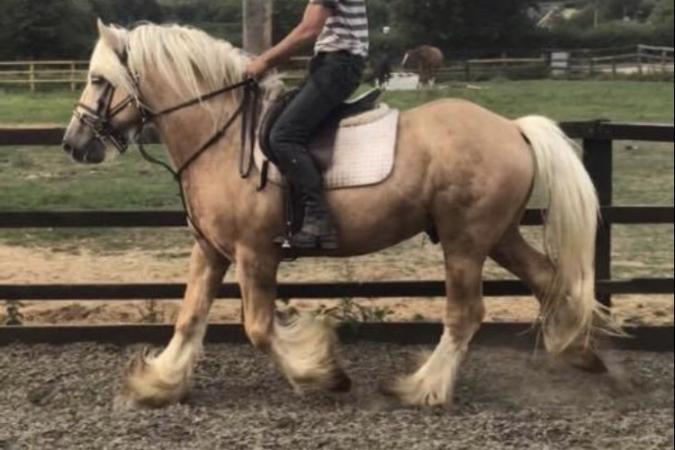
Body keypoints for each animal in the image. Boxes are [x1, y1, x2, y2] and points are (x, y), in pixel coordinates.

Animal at [63, 20, 616, 409]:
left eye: (97, 79)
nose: (74, 143)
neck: (220, 135)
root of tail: (513, 127)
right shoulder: (211, 250)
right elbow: (189, 318)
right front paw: (157, 383)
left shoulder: (255, 254)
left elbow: (259, 328)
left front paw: (323, 373)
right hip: (498, 236)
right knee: (550, 278)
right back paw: (581, 351)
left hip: (466, 243)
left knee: (465, 315)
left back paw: (423, 388)